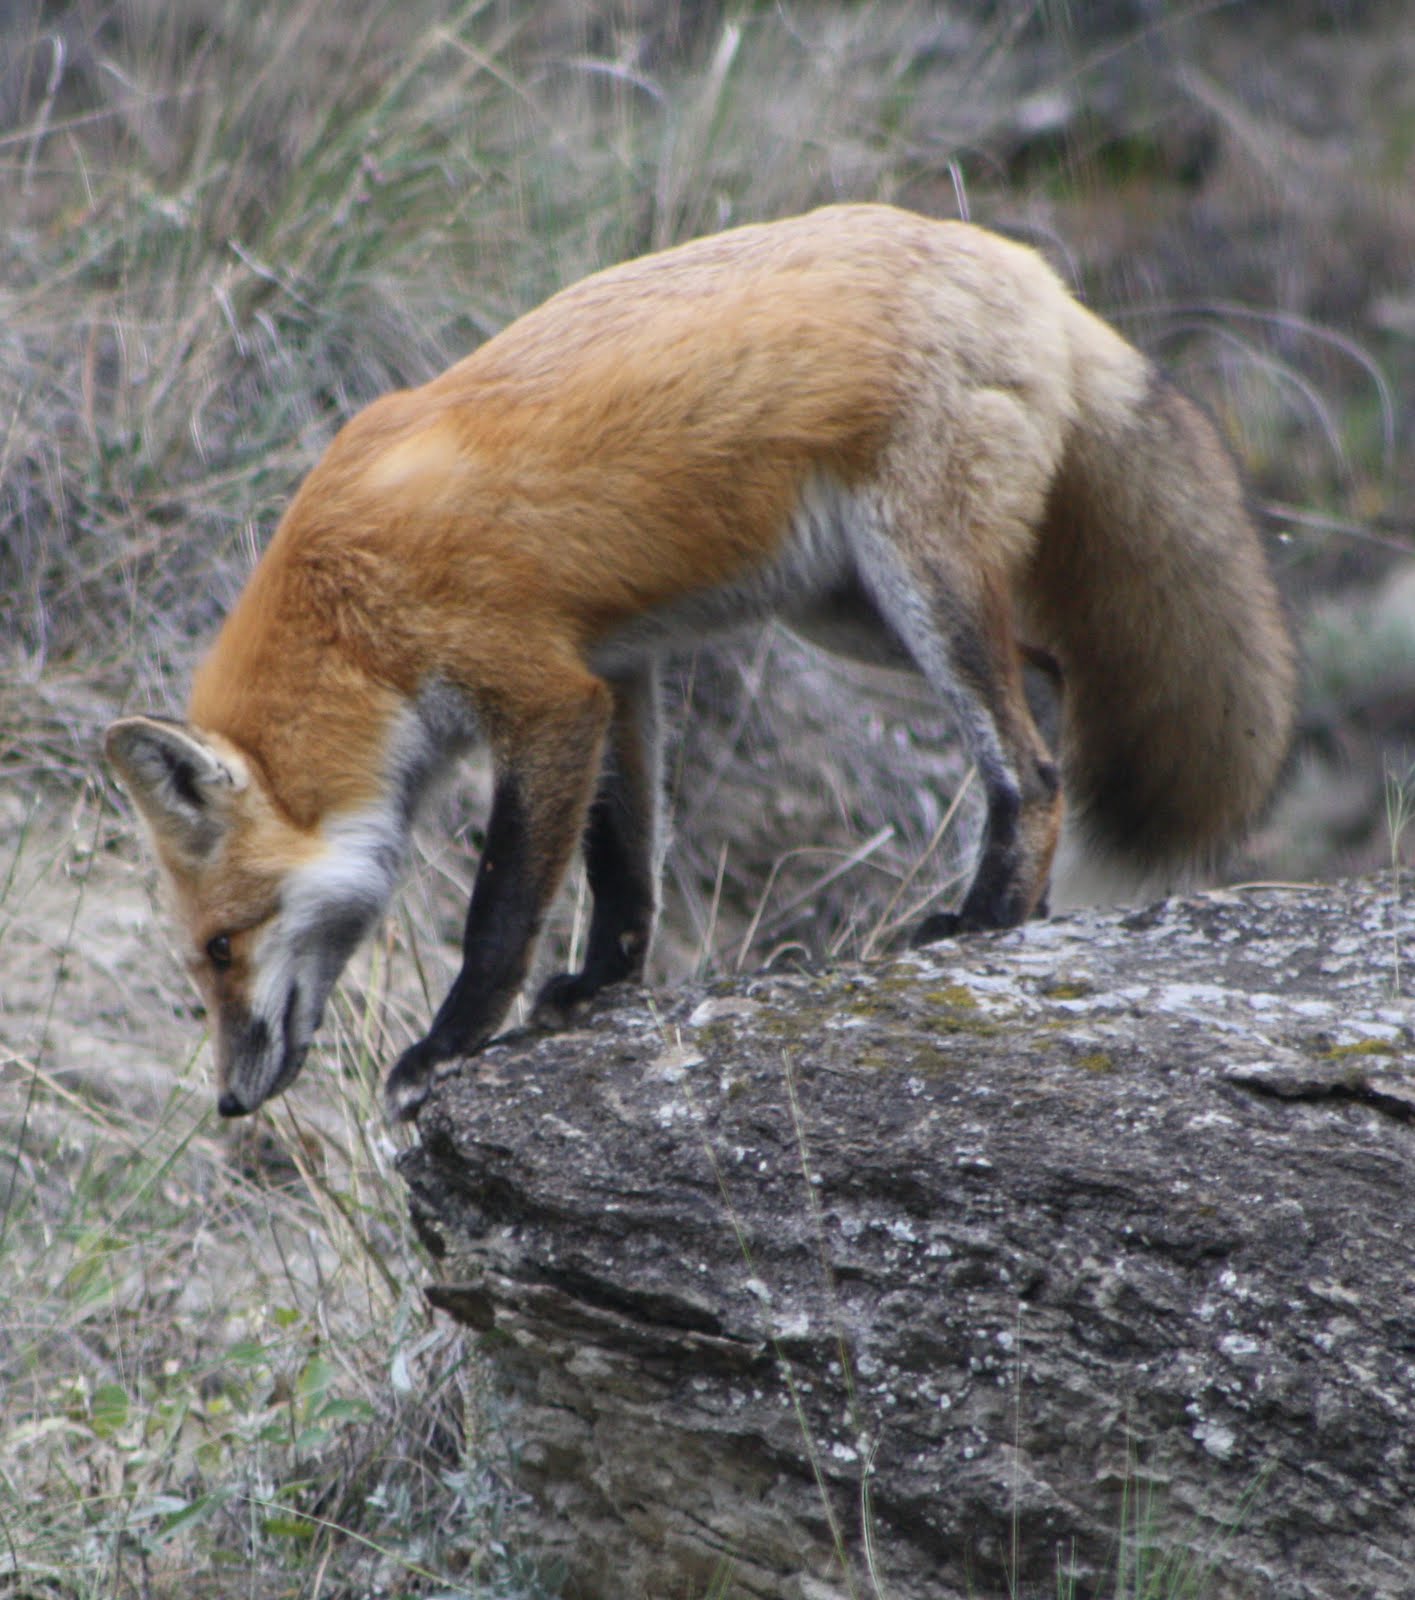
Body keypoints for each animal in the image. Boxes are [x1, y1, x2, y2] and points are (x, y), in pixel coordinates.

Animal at [105, 204, 1296, 1123]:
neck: (350, 613)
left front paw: (447, 1048)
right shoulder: (616, 679)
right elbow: (624, 868)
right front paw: (598, 986)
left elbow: (499, 913)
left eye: (219, 948)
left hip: (920, 587)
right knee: (1048, 683)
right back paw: (1021, 903)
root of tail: (1030, 272)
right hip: (852, 614)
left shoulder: (544, 696)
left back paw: (983, 918)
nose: (229, 1102)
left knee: (1034, 766)